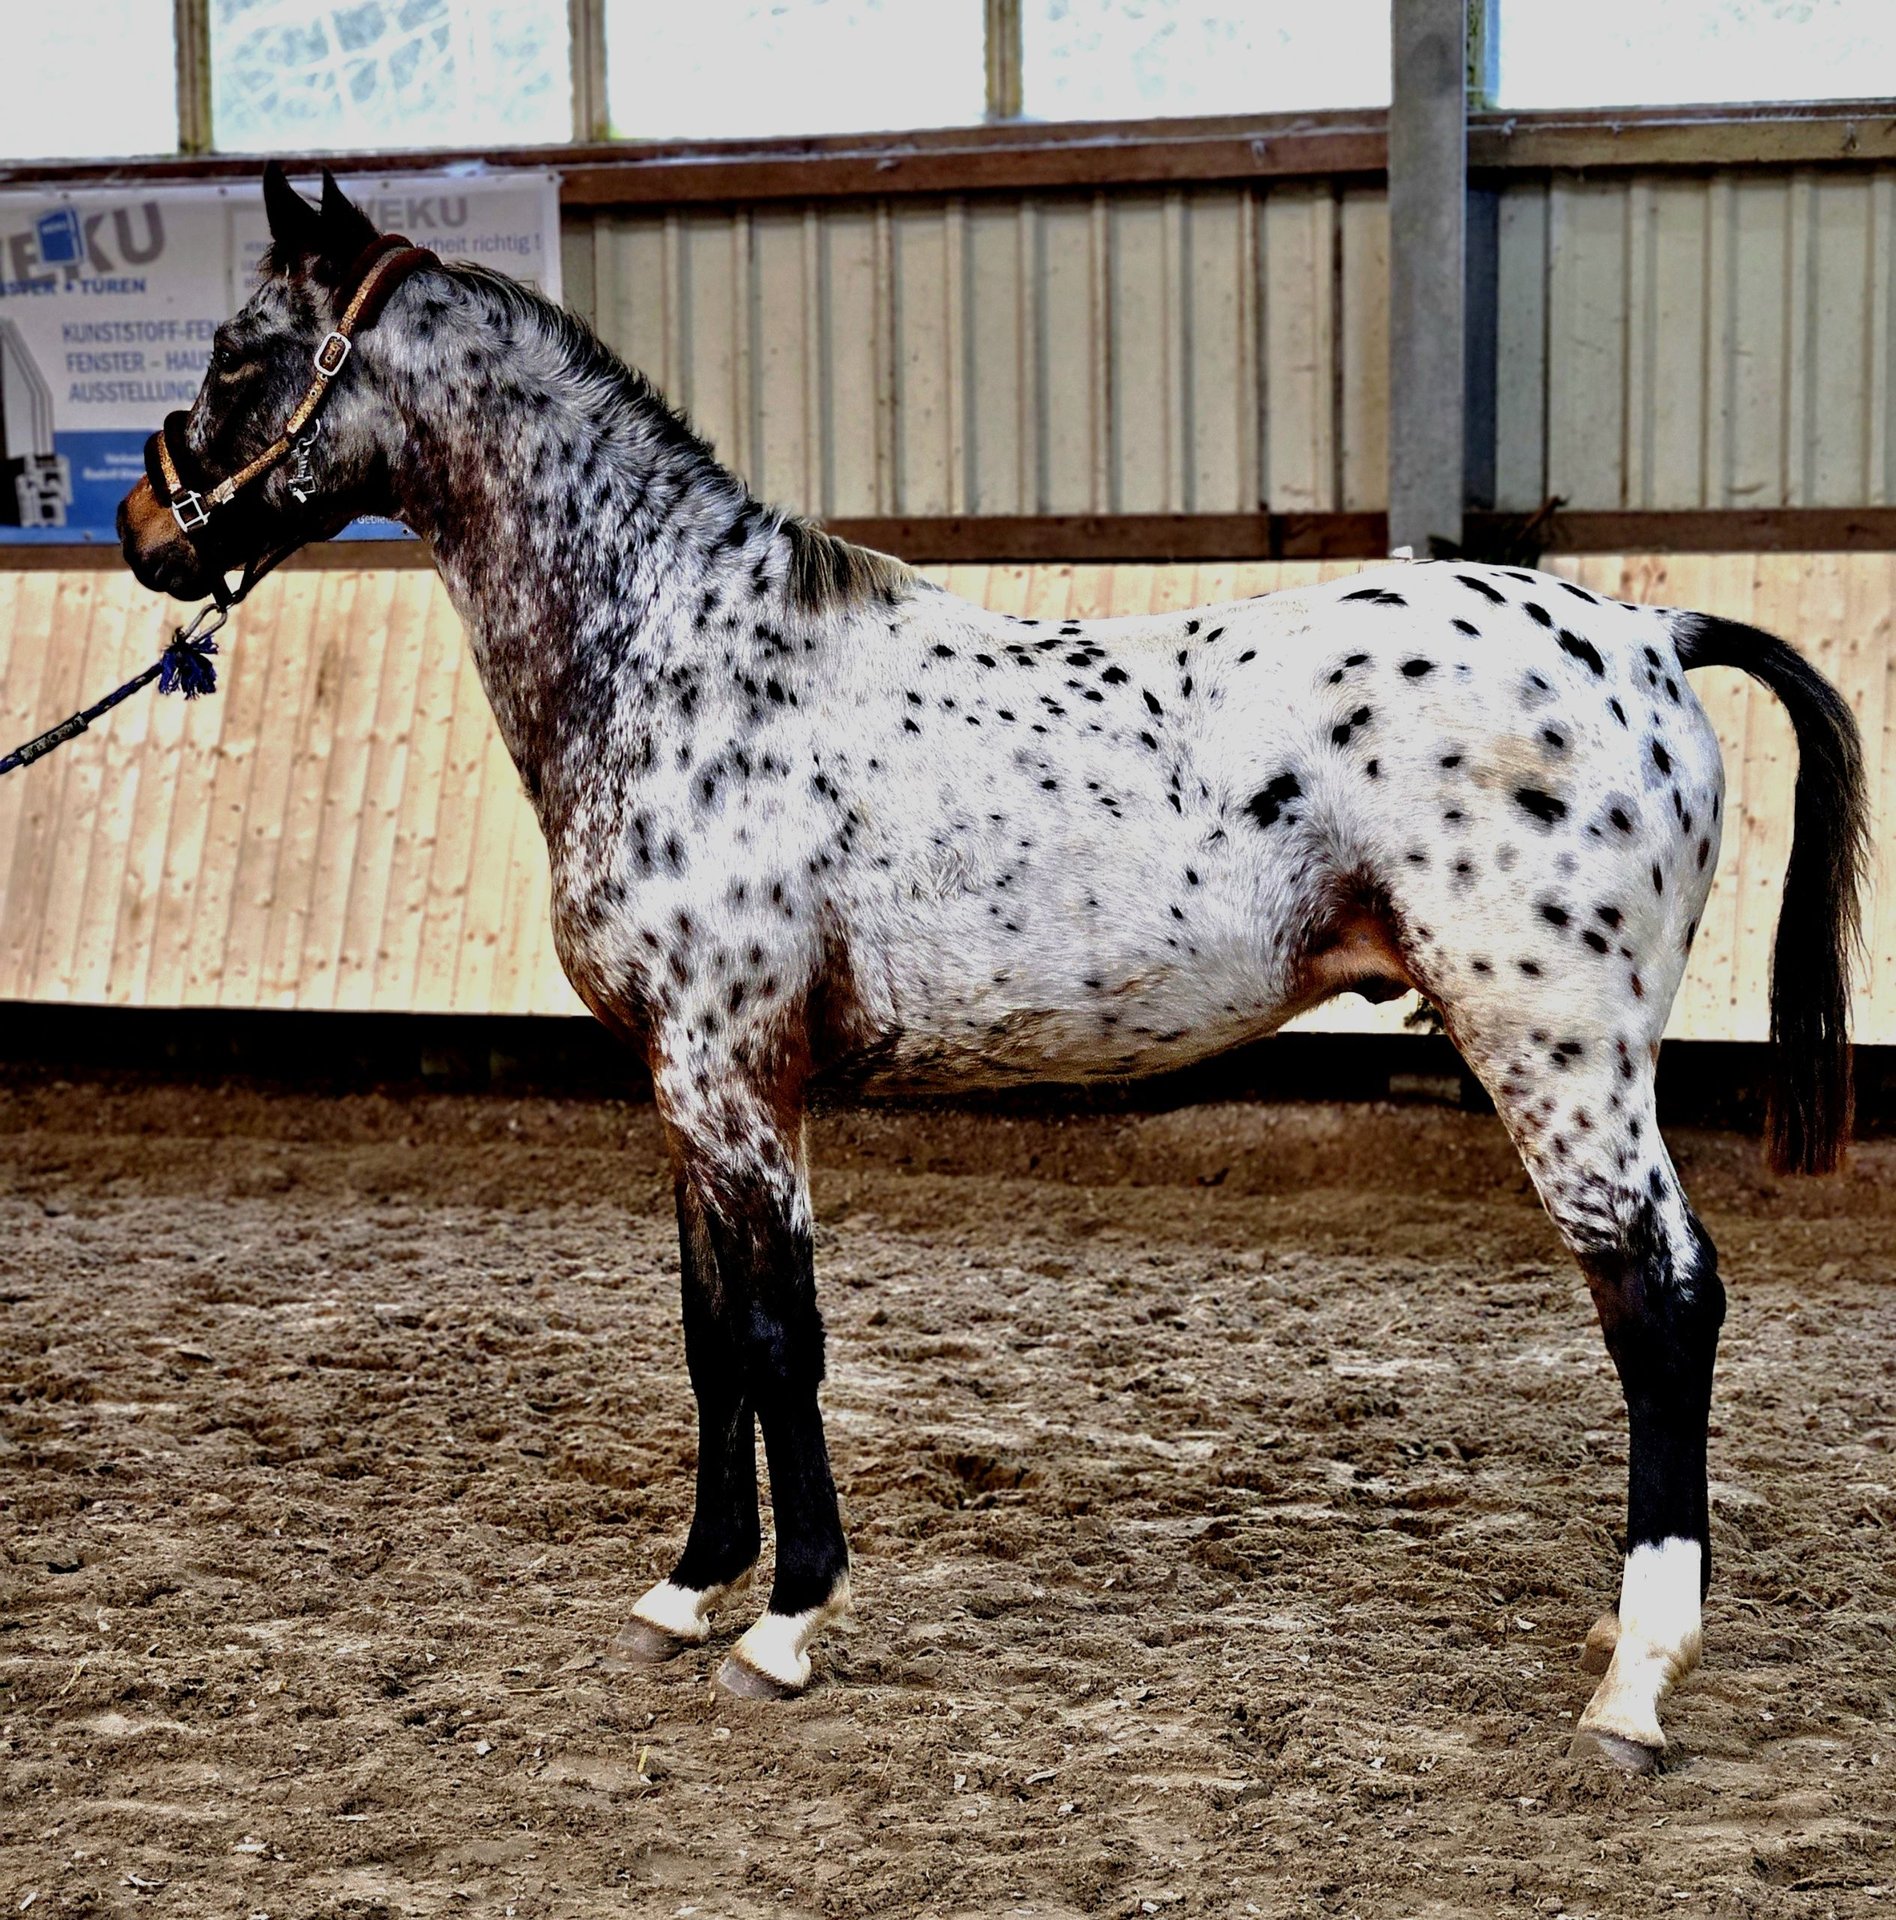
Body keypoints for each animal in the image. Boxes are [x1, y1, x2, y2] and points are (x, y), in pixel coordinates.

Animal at [117, 166, 1869, 1771]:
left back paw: (1636, 1684)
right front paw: (687, 1591)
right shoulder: (691, 1086)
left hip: (1558, 1053)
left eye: (239, 351)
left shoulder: (731, 1075)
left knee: (1661, 1301)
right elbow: (708, 1331)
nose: (143, 530)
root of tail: (1647, 633)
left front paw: (787, 1622)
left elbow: (780, 1335)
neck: (680, 658)